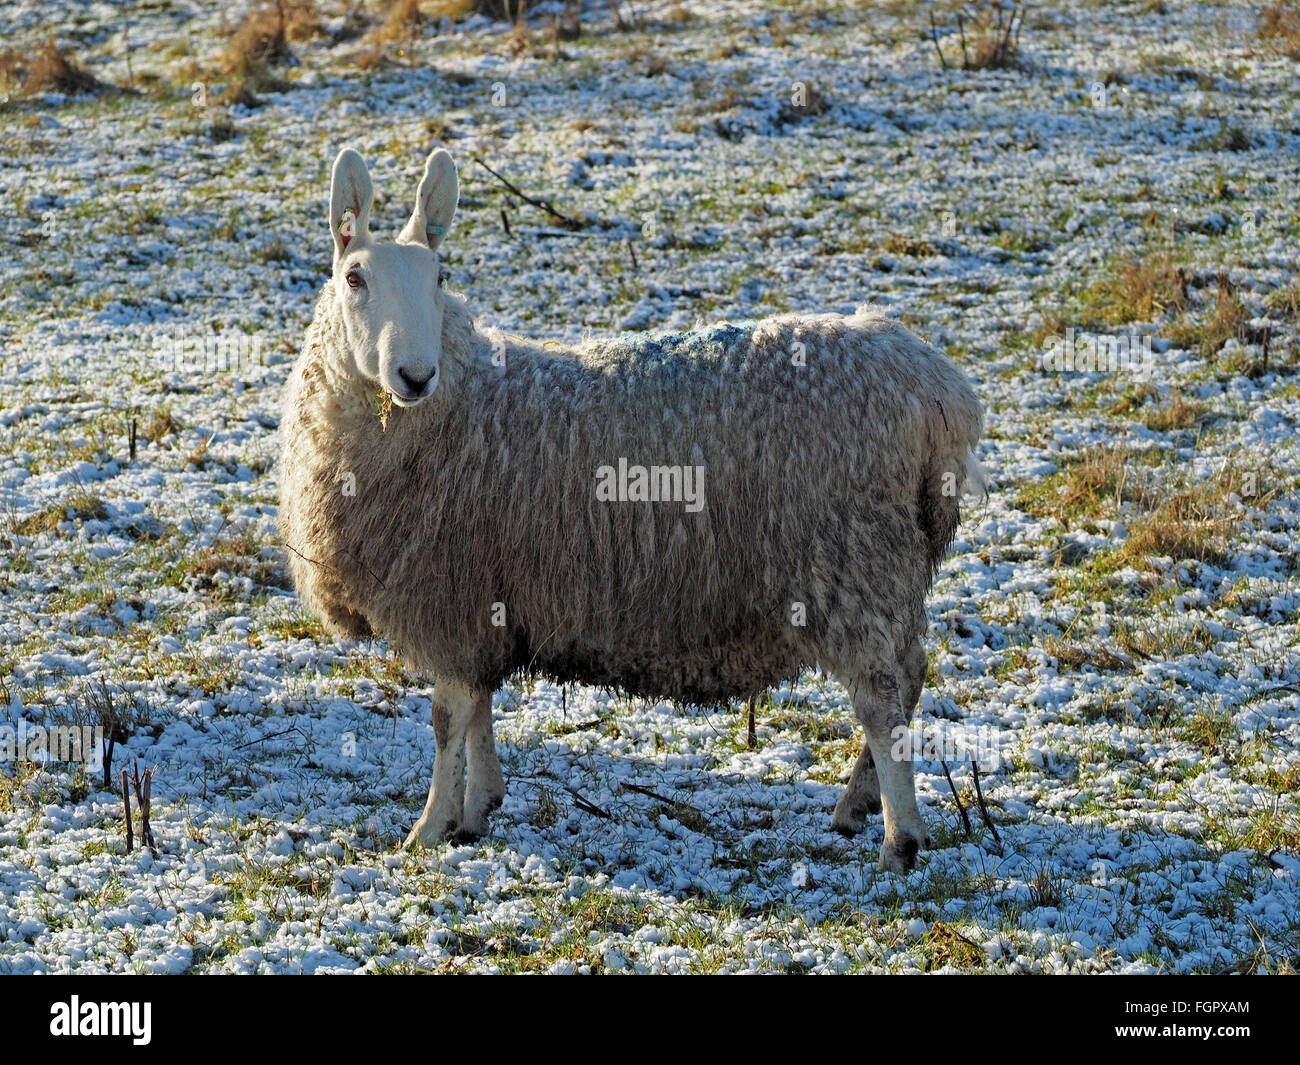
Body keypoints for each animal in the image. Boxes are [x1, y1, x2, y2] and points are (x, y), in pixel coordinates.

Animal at [278, 147, 986, 873]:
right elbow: (479, 707)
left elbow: (449, 716)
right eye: (355, 277)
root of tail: (935, 392)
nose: (415, 376)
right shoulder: (482, 597)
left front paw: (429, 828)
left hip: (854, 561)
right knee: (910, 674)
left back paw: (900, 839)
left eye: (440, 277)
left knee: (881, 699)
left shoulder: (446, 595)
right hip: (885, 564)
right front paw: (479, 807)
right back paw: (857, 805)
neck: (457, 402)